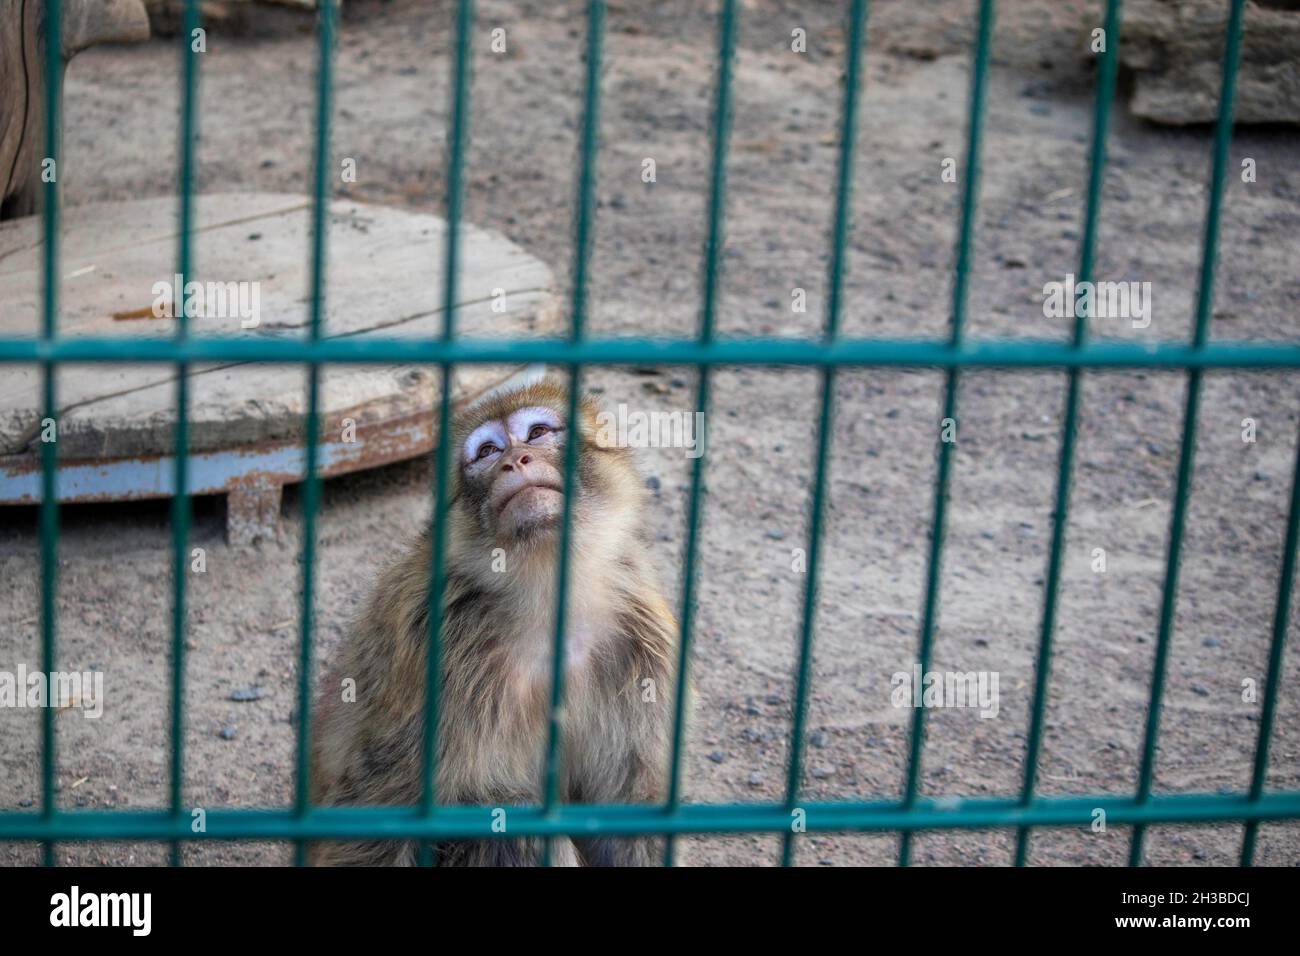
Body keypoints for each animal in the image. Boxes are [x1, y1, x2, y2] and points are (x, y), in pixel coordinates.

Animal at [308, 376, 682, 866]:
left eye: (537, 433)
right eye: (487, 452)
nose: (514, 460)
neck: (547, 597)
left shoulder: (646, 647)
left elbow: (632, 812)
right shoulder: (440, 652)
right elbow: (374, 808)